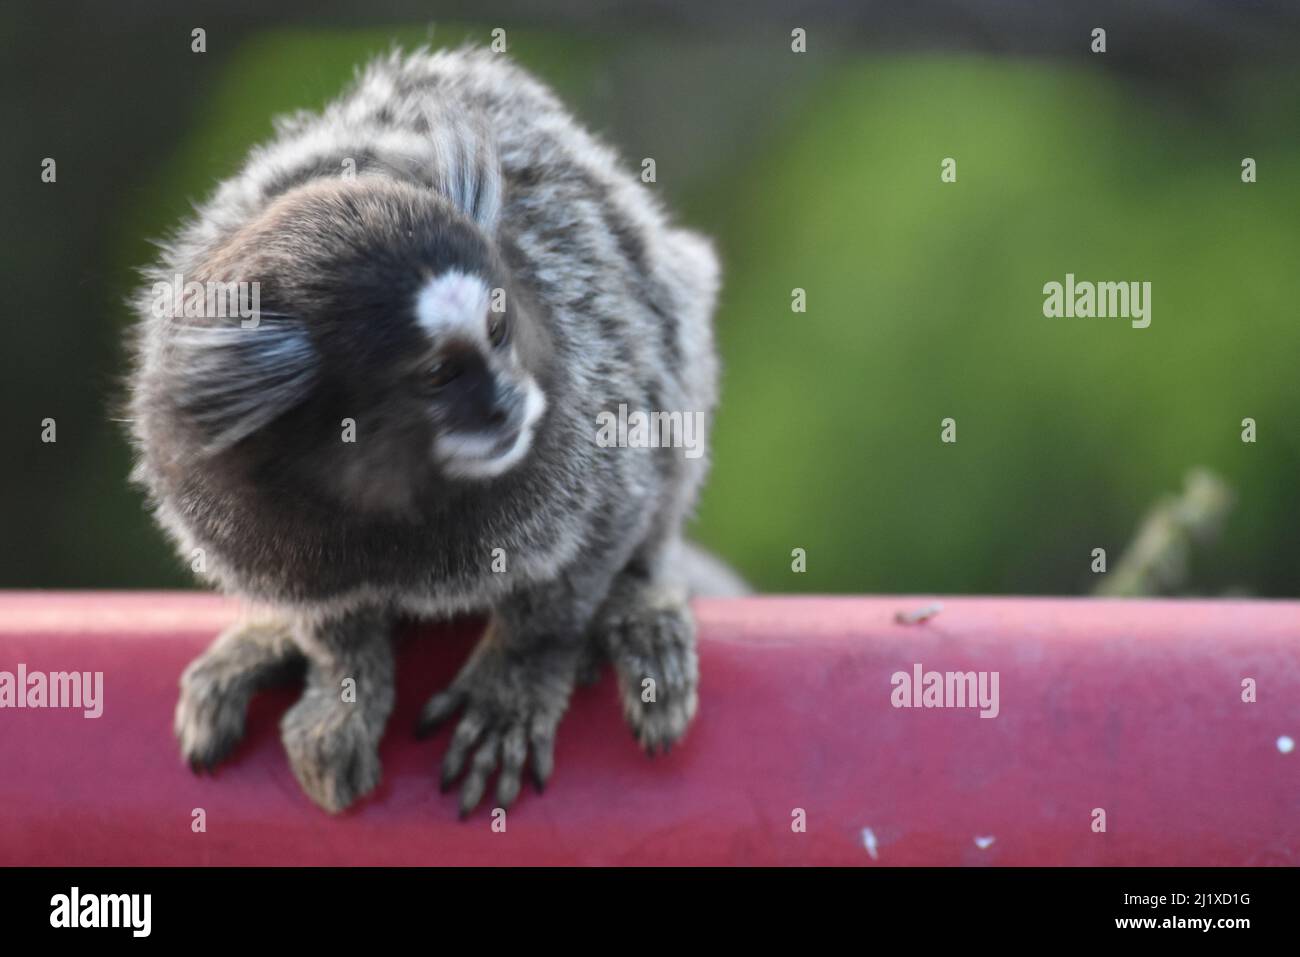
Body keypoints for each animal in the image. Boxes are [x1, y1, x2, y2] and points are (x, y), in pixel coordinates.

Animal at [126, 46, 746, 817]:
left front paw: (518, 676)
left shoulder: (587, 421)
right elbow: (329, 619)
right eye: (439, 375)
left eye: (499, 331)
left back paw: (641, 603)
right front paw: (342, 691)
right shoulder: (239, 510)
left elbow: (600, 531)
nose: (510, 402)